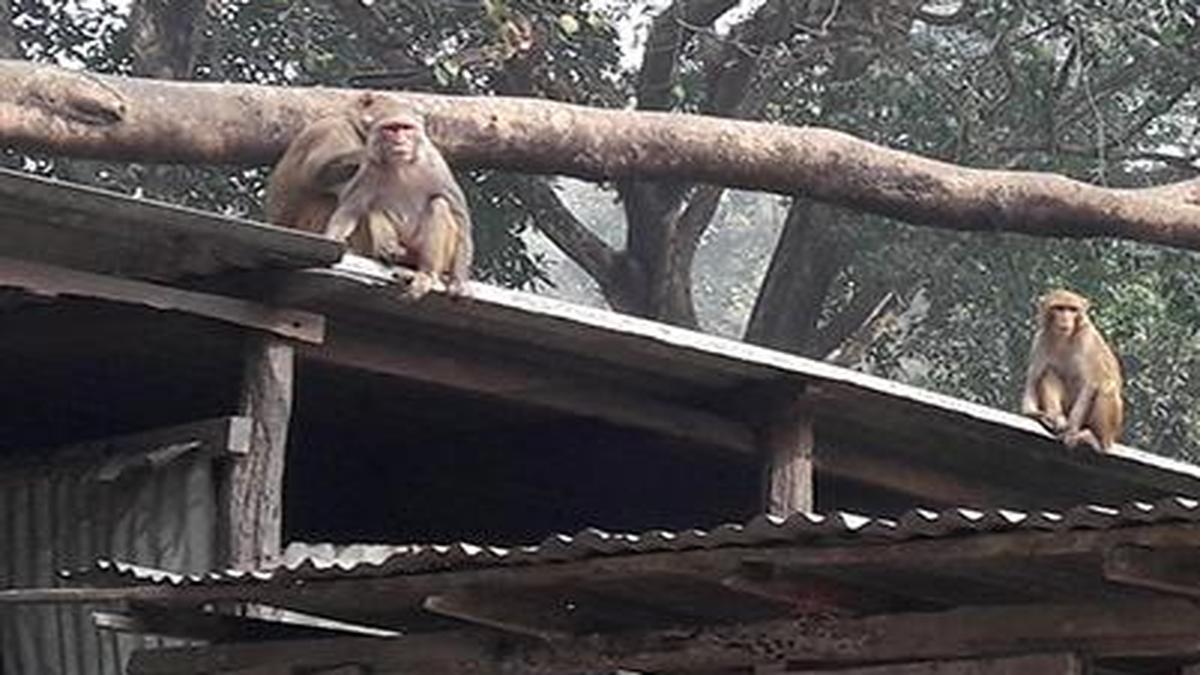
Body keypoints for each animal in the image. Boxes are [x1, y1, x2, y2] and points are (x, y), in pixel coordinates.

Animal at [324, 108, 473, 298]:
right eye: (391, 129)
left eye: (405, 128)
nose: (399, 140)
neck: (401, 165)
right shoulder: (370, 167)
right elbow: (350, 209)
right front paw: (331, 238)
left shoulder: (435, 165)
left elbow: (459, 216)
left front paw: (459, 281)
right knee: (374, 206)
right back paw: (390, 251)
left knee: (439, 204)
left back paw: (426, 273)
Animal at [1020, 289, 1124, 452]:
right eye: (1059, 308)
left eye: (1072, 310)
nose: (1065, 318)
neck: (1064, 337)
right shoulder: (1041, 339)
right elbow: (1034, 378)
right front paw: (1032, 413)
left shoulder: (1087, 340)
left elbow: (1090, 384)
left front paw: (1072, 430)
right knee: (1049, 372)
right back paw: (1057, 417)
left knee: (1107, 385)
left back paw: (1096, 440)